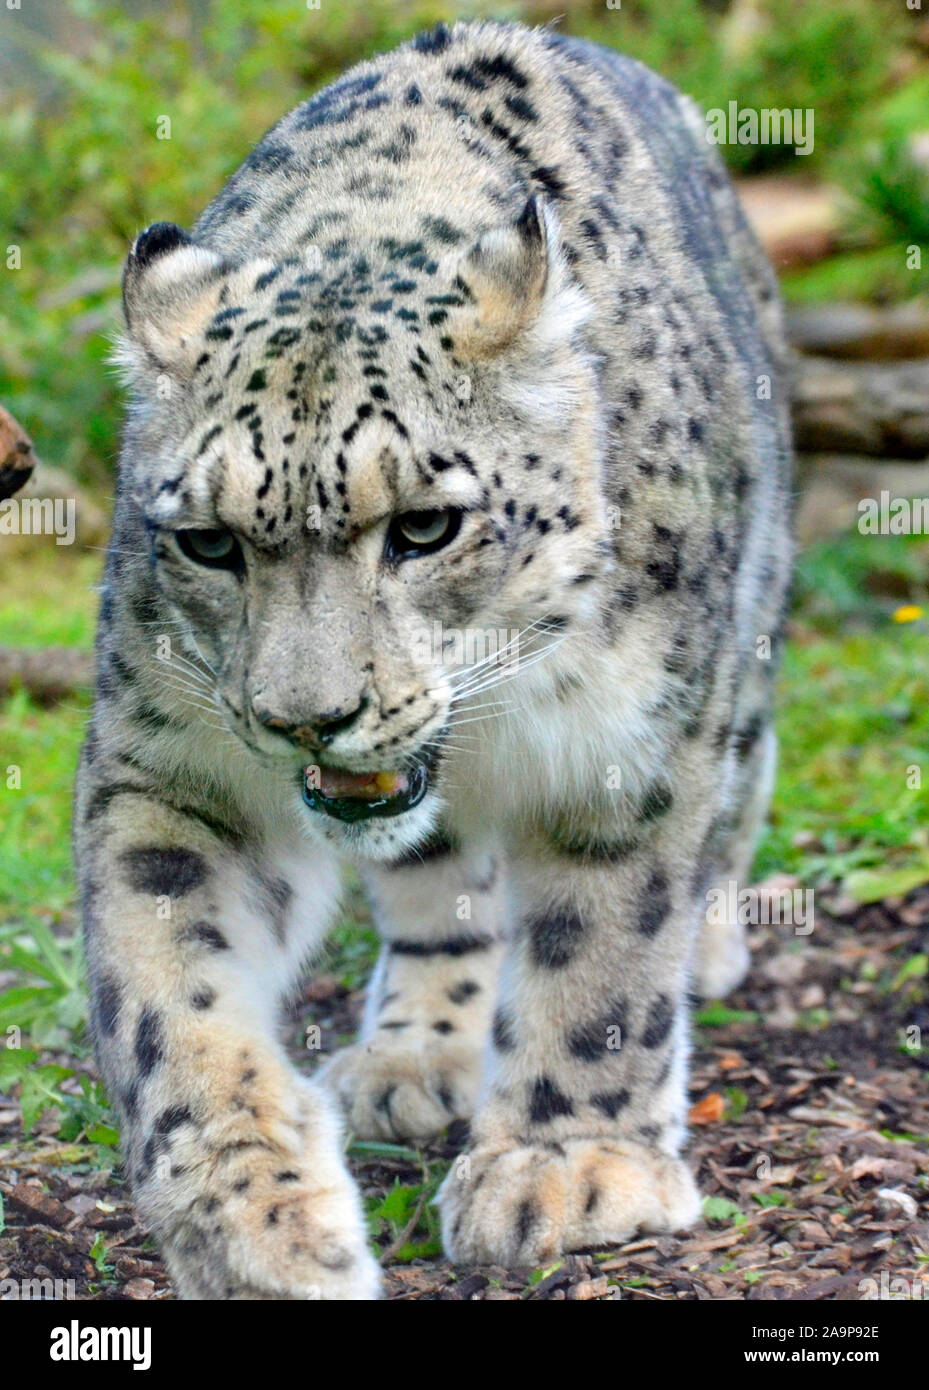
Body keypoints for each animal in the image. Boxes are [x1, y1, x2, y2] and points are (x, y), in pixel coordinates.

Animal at [74, 18, 793, 1300]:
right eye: (208, 540)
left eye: (423, 525)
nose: (304, 717)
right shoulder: (175, 764)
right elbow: (165, 989)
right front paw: (256, 1226)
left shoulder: (629, 749)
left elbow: (602, 950)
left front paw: (568, 1166)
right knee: (436, 888)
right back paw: (411, 1056)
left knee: (737, 781)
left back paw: (707, 941)